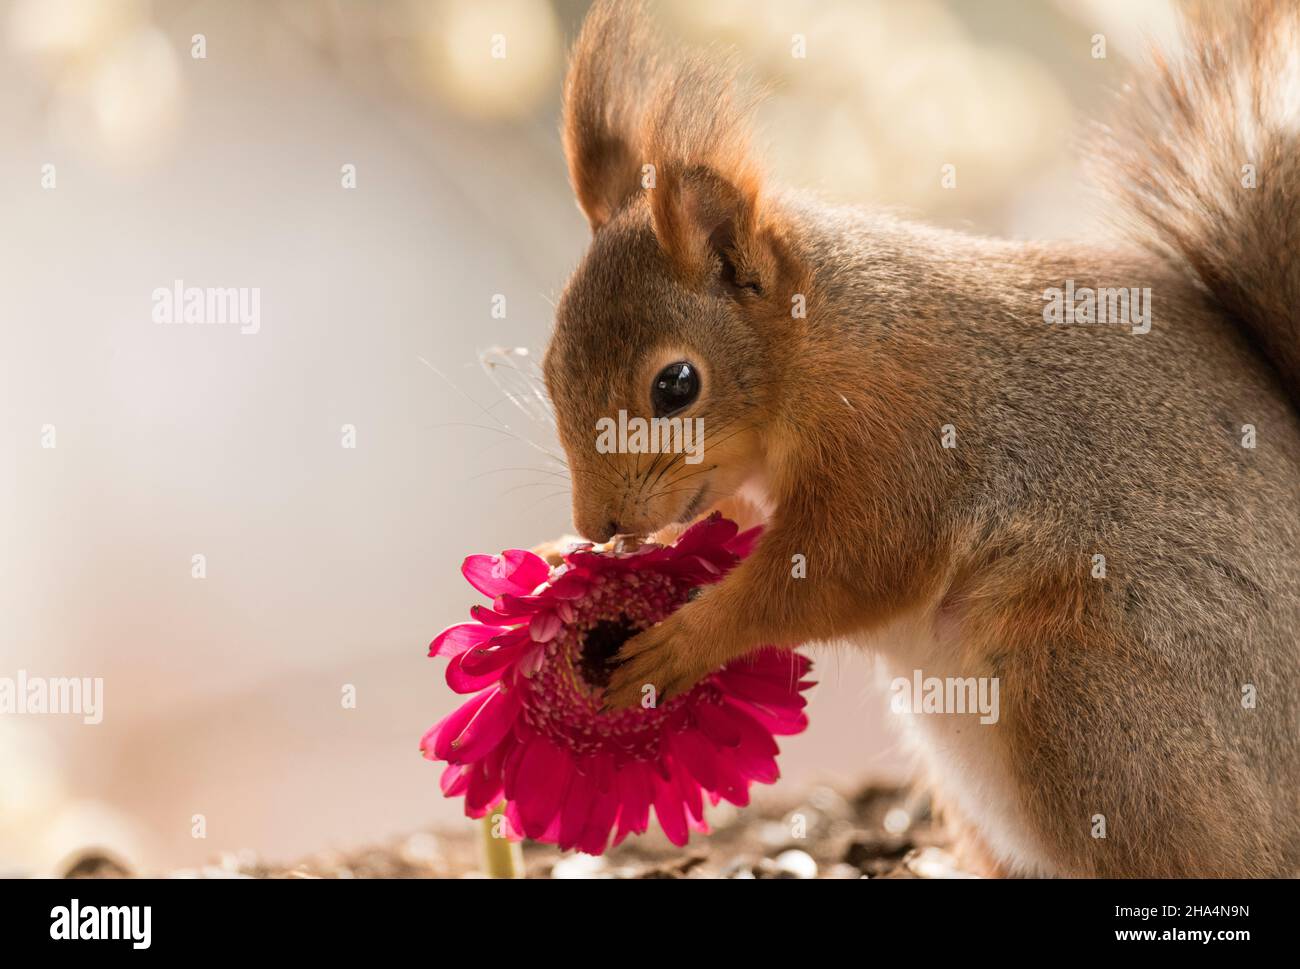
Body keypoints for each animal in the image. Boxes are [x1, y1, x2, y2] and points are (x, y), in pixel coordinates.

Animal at [539, 0, 1300, 876]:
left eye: (675, 385)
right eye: (548, 370)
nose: (600, 523)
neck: (822, 339)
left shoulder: (900, 438)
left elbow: (848, 569)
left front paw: (686, 639)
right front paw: (571, 555)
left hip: (1090, 699)